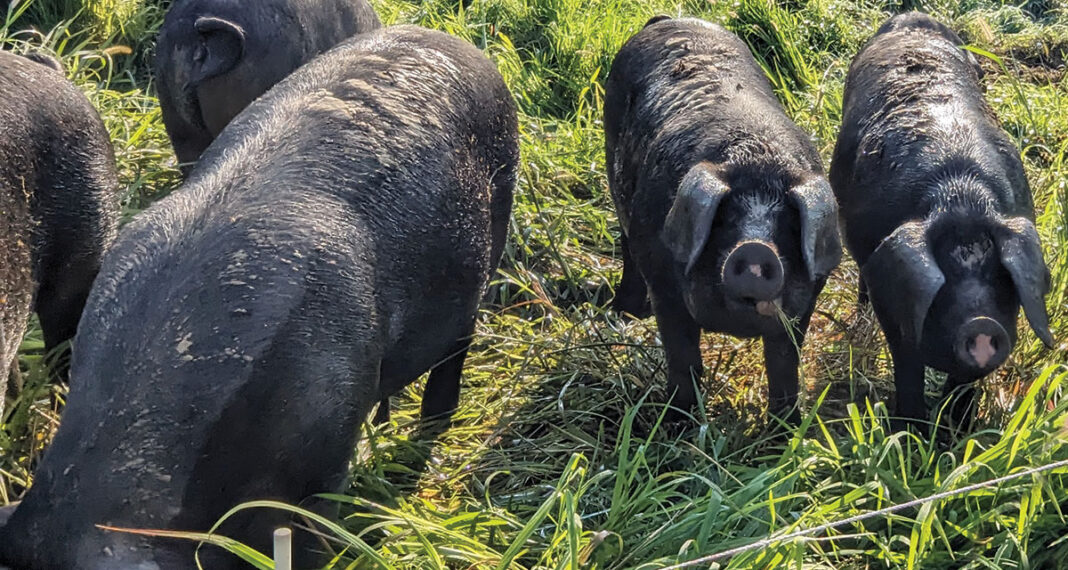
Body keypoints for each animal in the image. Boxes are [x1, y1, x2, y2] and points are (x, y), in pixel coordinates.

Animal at [604, 17, 842, 423]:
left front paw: (787, 430)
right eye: (726, 218)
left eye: (788, 224)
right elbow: (682, 356)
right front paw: (678, 423)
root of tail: (667, 20)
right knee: (625, 246)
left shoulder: (807, 300)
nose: (756, 250)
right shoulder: (663, 280)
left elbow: (784, 364)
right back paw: (627, 313)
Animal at [829, 12, 1054, 429]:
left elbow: (964, 383)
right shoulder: (893, 297)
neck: (960, 196)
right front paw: (910, 430)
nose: (981, 323)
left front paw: (960, 429)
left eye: (1001, 275)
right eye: (942, 278)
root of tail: (909, 19)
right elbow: (907, 362)